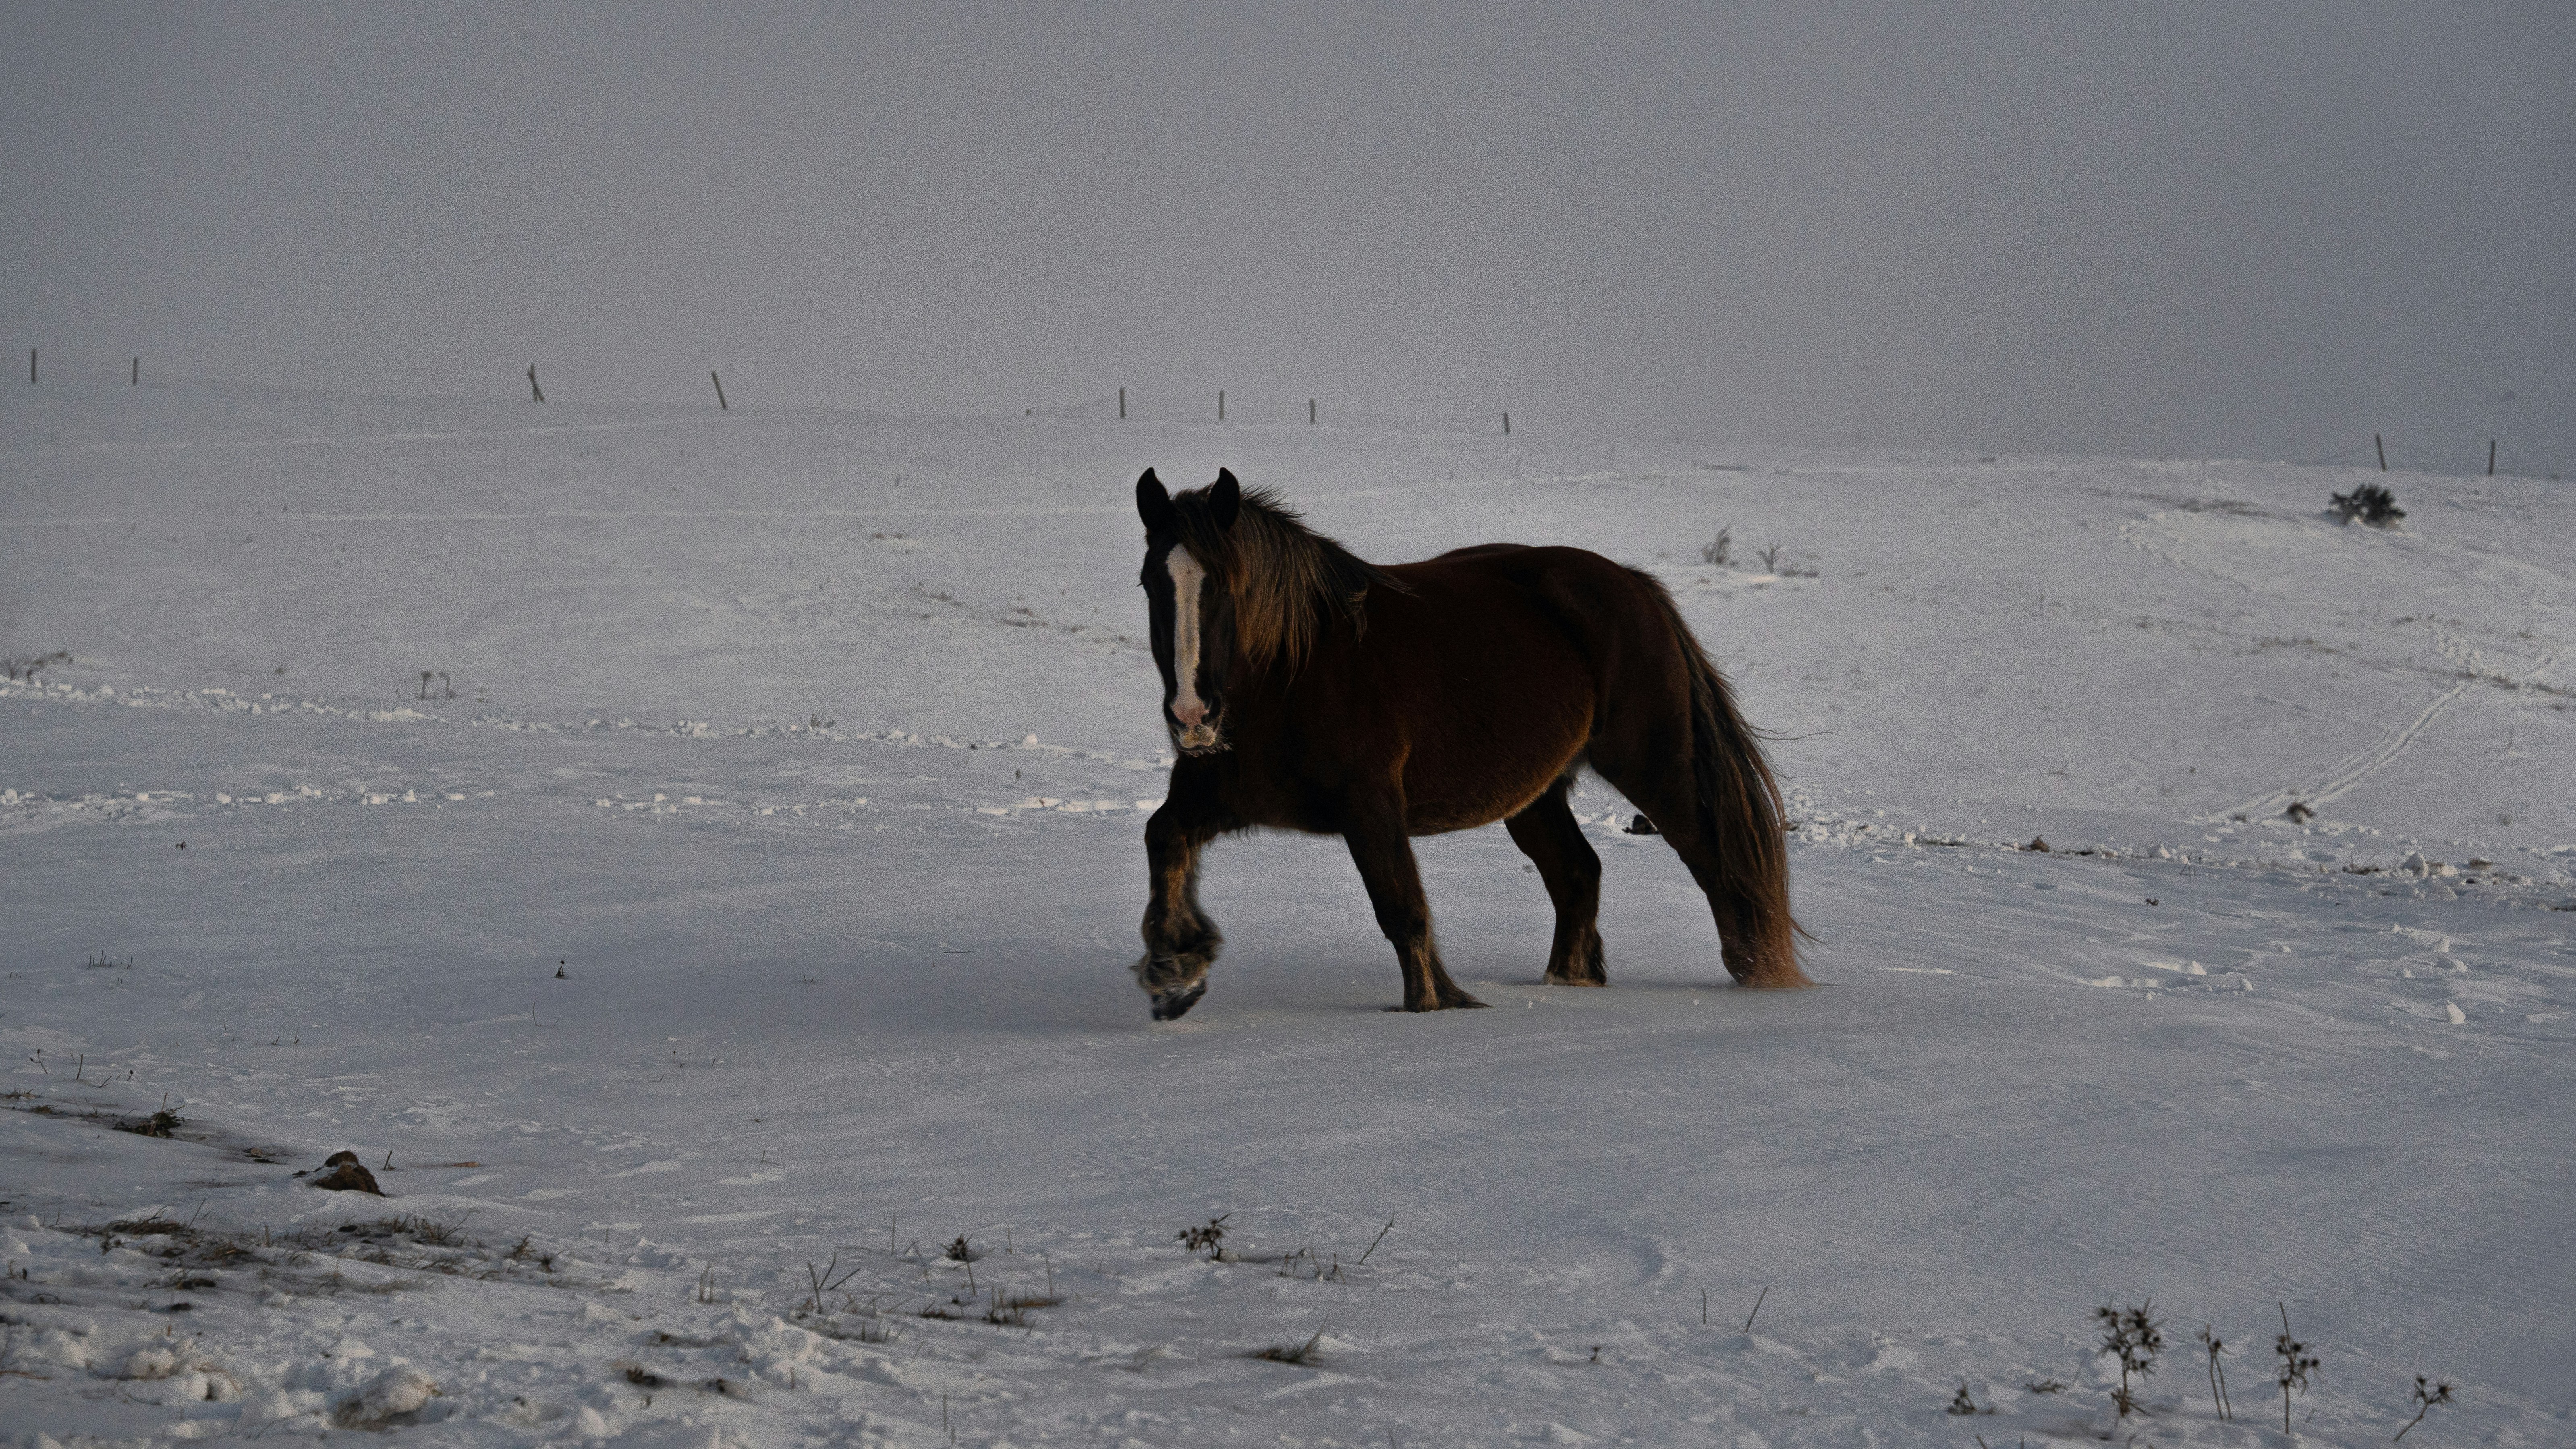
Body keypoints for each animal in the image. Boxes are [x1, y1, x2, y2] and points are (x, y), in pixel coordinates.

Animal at [1130, 466, 1808, 1020]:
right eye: (1149, 583)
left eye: (1224, 583)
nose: (1192, 716)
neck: (1291, 674)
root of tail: (1636, 587)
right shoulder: (1215, 793)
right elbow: (1162, 837)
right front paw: (1174, 970)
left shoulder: (1370, 806)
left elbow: (1403, 912)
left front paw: (1431, 1007)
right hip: (1535, 795)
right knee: (1576, 872)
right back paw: (1568, 982)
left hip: (1652, 765)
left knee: (1714, 860)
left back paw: (1756, 976)